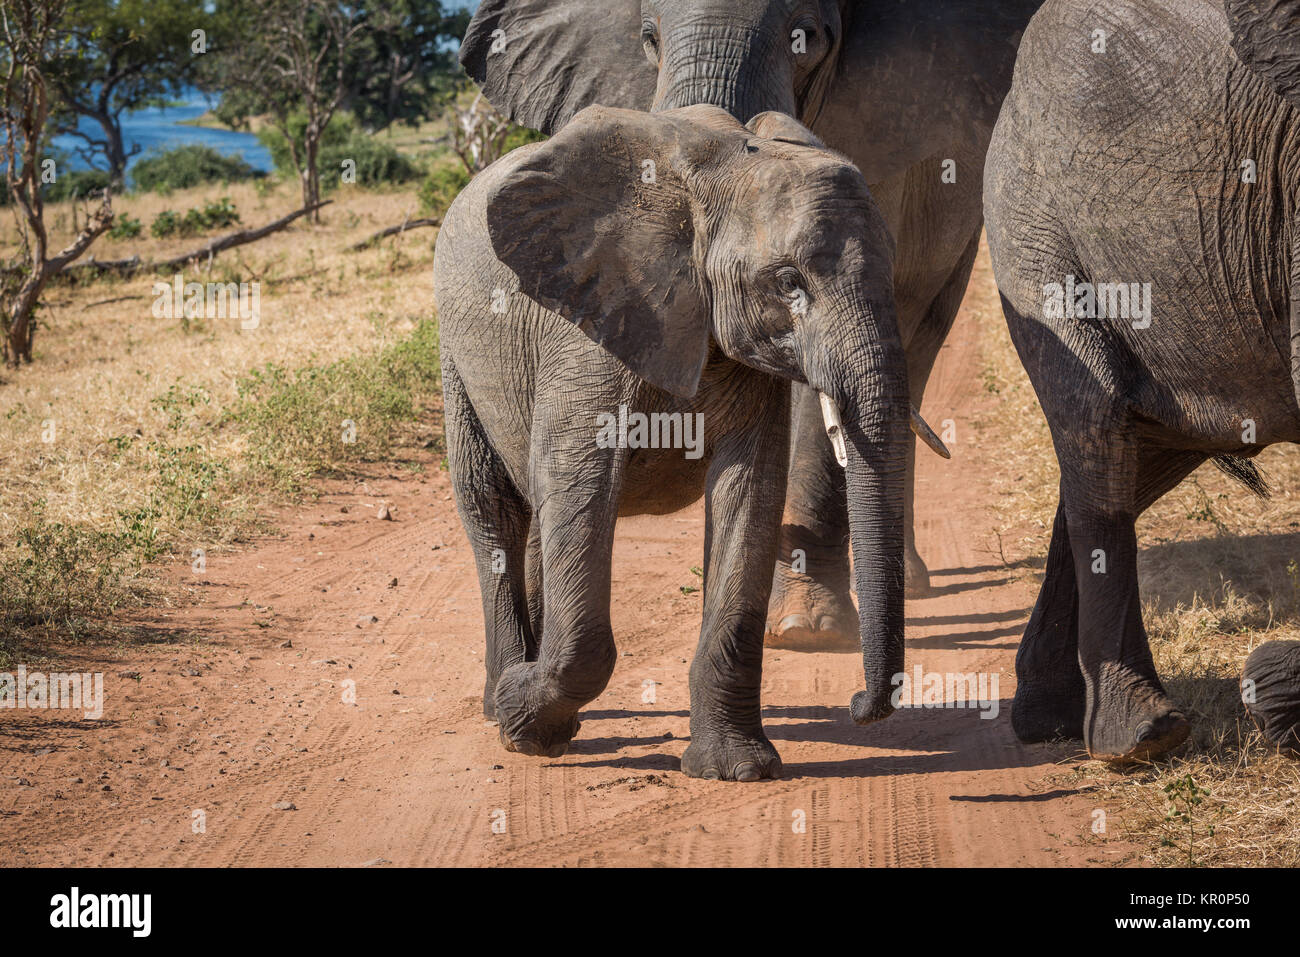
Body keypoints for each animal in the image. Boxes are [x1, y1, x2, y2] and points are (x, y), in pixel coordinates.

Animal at [431, 104, 948, 779]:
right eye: (788, 281)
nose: (860, 704)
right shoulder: (587, 328)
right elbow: (580, 485)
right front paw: (524, 723)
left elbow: (749, 492)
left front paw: (737, 769)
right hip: (455, 354)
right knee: (494, 507)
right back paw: (502, 703)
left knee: (540, 519)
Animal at [983, 0, 1300, 761]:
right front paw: (1272, 695)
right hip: (1034, 229)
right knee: (1100, 433)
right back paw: (1143, 736)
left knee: (1137, 452)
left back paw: (1051, 719)